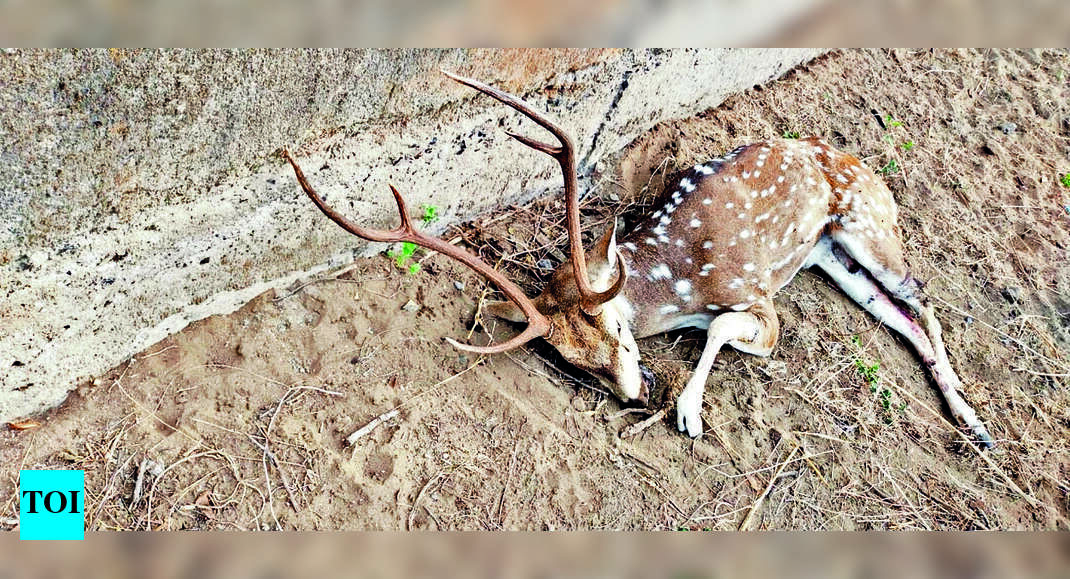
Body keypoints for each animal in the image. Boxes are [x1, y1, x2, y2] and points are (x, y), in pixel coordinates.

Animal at [283, 70, 995, 449]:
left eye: (615, 331)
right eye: (573, 363)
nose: (639, 391)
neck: (675, 280)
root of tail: (861, 166)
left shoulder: (758, 299)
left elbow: (725, 327)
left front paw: (689, 412)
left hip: (868, 228)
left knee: (923, 297)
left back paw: (974, 421)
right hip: (830, 259)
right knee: (900, 316)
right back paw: (969, 420)